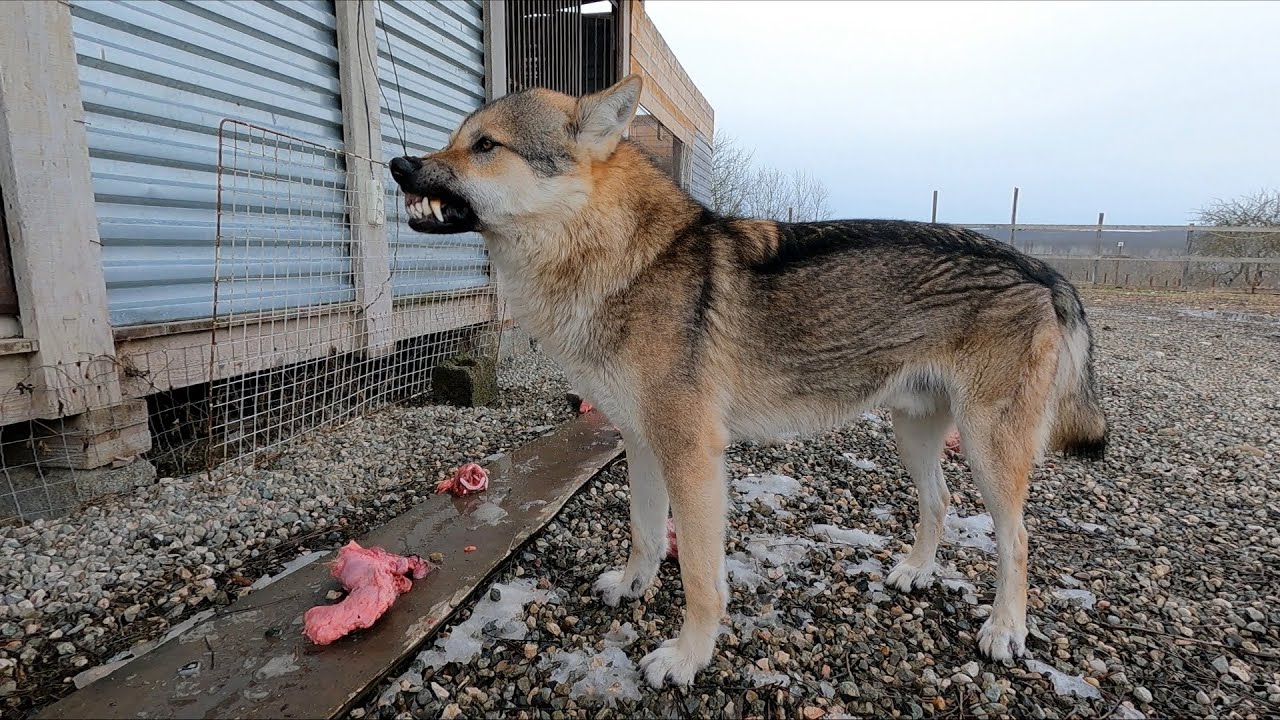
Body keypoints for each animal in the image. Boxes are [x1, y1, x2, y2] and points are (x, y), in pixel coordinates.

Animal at [388, 75, 1108, 688]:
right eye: (454, 137)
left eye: (485, 146)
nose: (399, 166)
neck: (620, 258)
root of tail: (1045, 271)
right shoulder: (640, 445)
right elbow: (644, 533)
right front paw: (632, 588)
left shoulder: (693, 457)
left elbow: (701, 578)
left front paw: (686, 658)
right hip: (915, 435)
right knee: (941, 504)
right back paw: (915, 573)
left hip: (988, 449)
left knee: (1017, 539)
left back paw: (1005, 630)